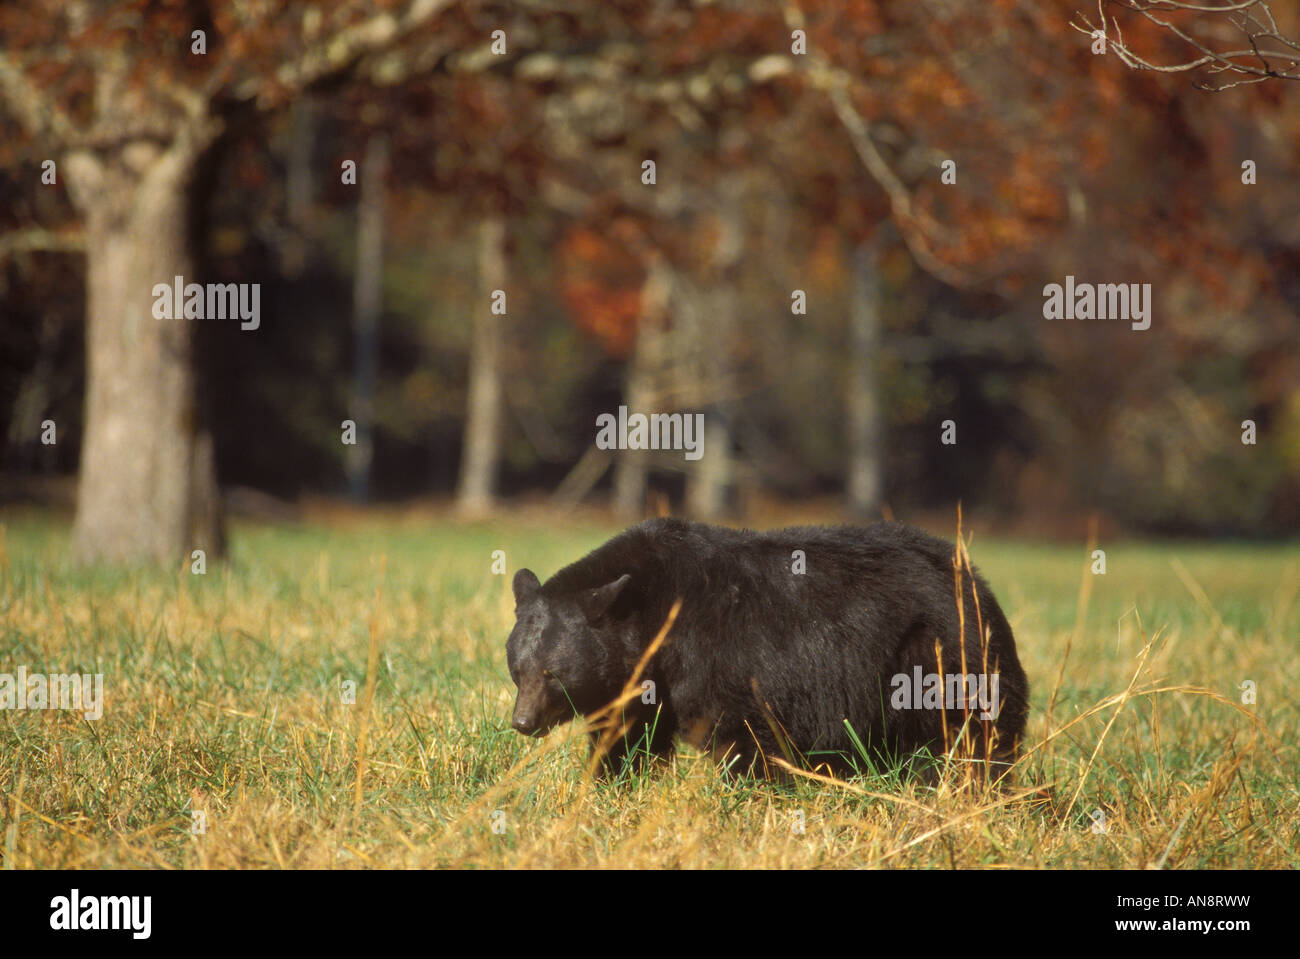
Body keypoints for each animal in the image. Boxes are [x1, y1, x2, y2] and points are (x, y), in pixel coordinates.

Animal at [505, 518, 1029, 782]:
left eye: (554, 673)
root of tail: (976, 581)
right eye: (518, 668)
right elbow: (629, 737)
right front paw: (610, 784)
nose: (523, 723)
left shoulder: (727, 659)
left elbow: (747, 737)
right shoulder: (644, 682)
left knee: (967, 738)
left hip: (939, 660)